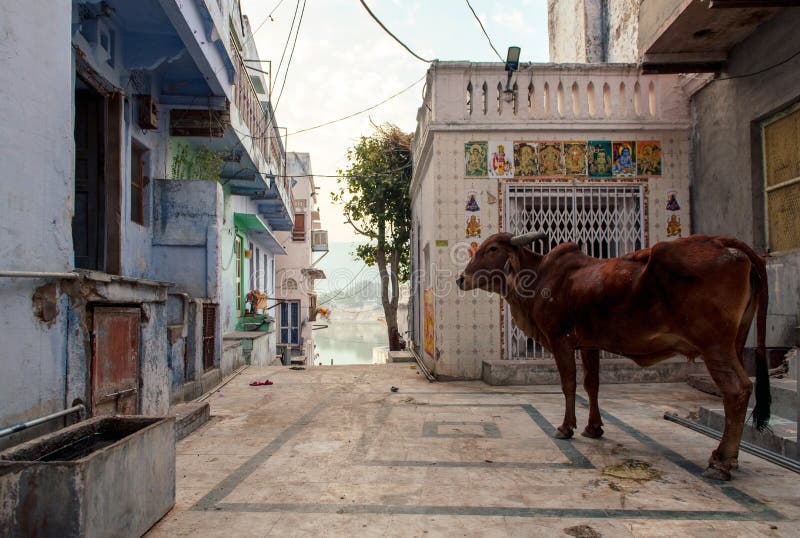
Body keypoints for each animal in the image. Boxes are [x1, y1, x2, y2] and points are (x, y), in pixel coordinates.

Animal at [456, 232, 770, 481]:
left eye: (492, 249)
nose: (461, 278)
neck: (539, 275)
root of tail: (724, 243)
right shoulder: (589, 345)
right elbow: (592, 385)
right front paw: (593, 428)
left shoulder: (561, 340)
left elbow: (568, 384)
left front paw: (566, 427)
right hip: (736, 342)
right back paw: (727, 456)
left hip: (714, 345)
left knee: (738, 390)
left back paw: (722, 462)